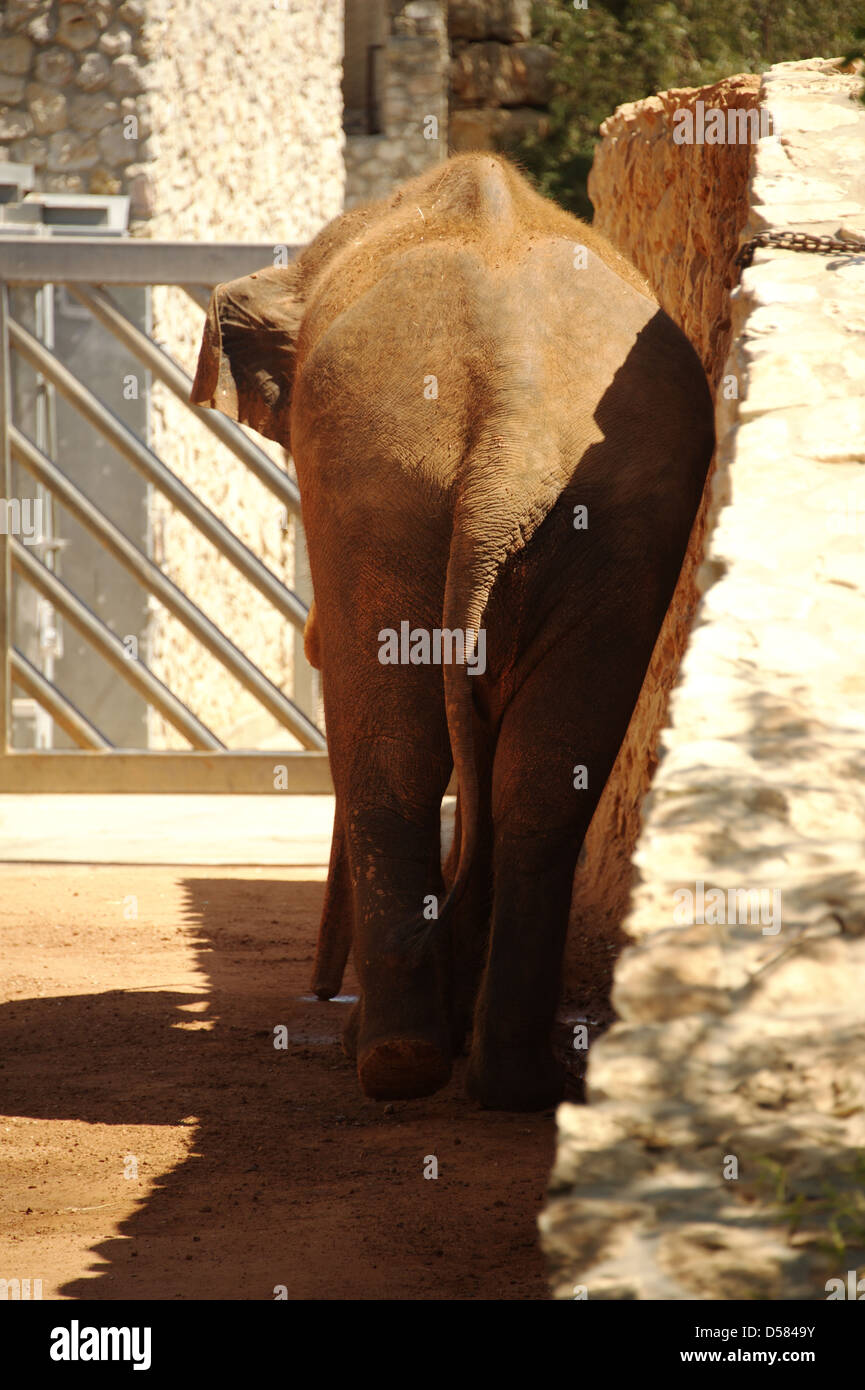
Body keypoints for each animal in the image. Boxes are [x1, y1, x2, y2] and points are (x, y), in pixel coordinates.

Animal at [191, 154, 714, 1111]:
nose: (319, 994)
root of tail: (509, 431)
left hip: (378, 479)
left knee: (394, 754)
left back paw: (395, 1064)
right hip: (608, 508)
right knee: (543, 782)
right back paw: (508, 1081)